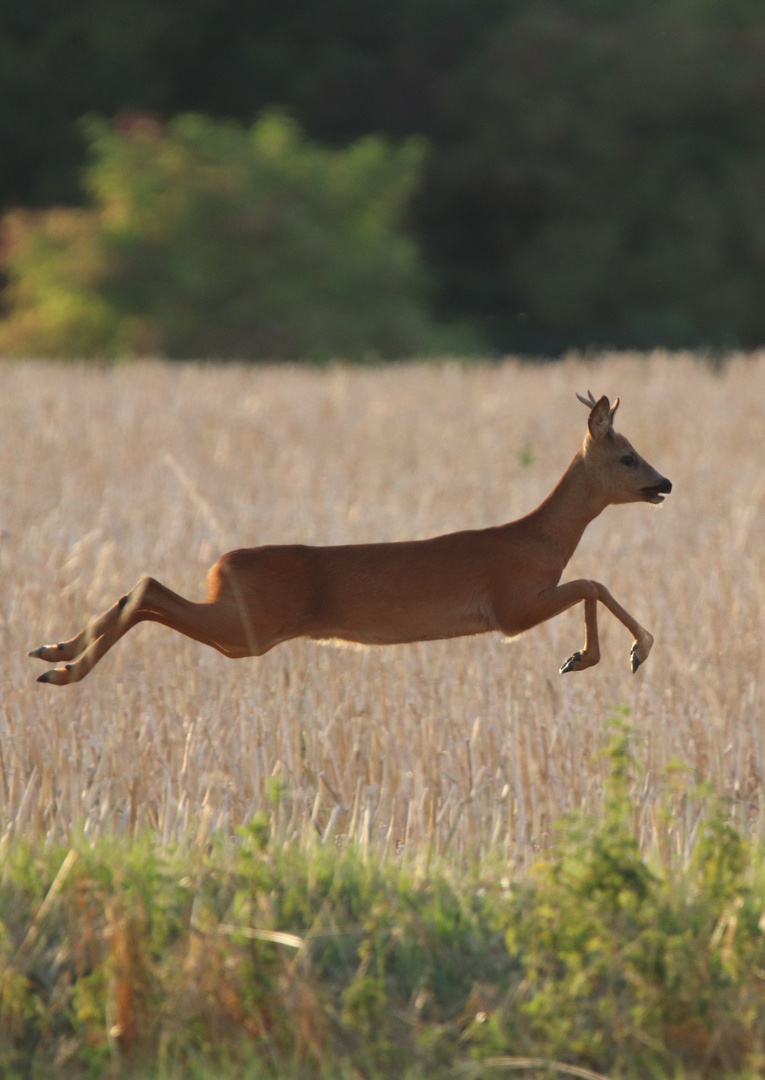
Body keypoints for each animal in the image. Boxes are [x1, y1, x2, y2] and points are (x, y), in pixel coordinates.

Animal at [31, 393, 669, 686]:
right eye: (627, 456)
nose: (664, 483)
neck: (541, 541)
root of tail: (221, 564)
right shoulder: (510, 607)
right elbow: (592, 581)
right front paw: (612, 654)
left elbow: (591, 583)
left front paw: (593, 656)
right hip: (249, 628)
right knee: (149, 588)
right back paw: (63, 667)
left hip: (241, 626)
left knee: (143, 589)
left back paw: (53, 652)